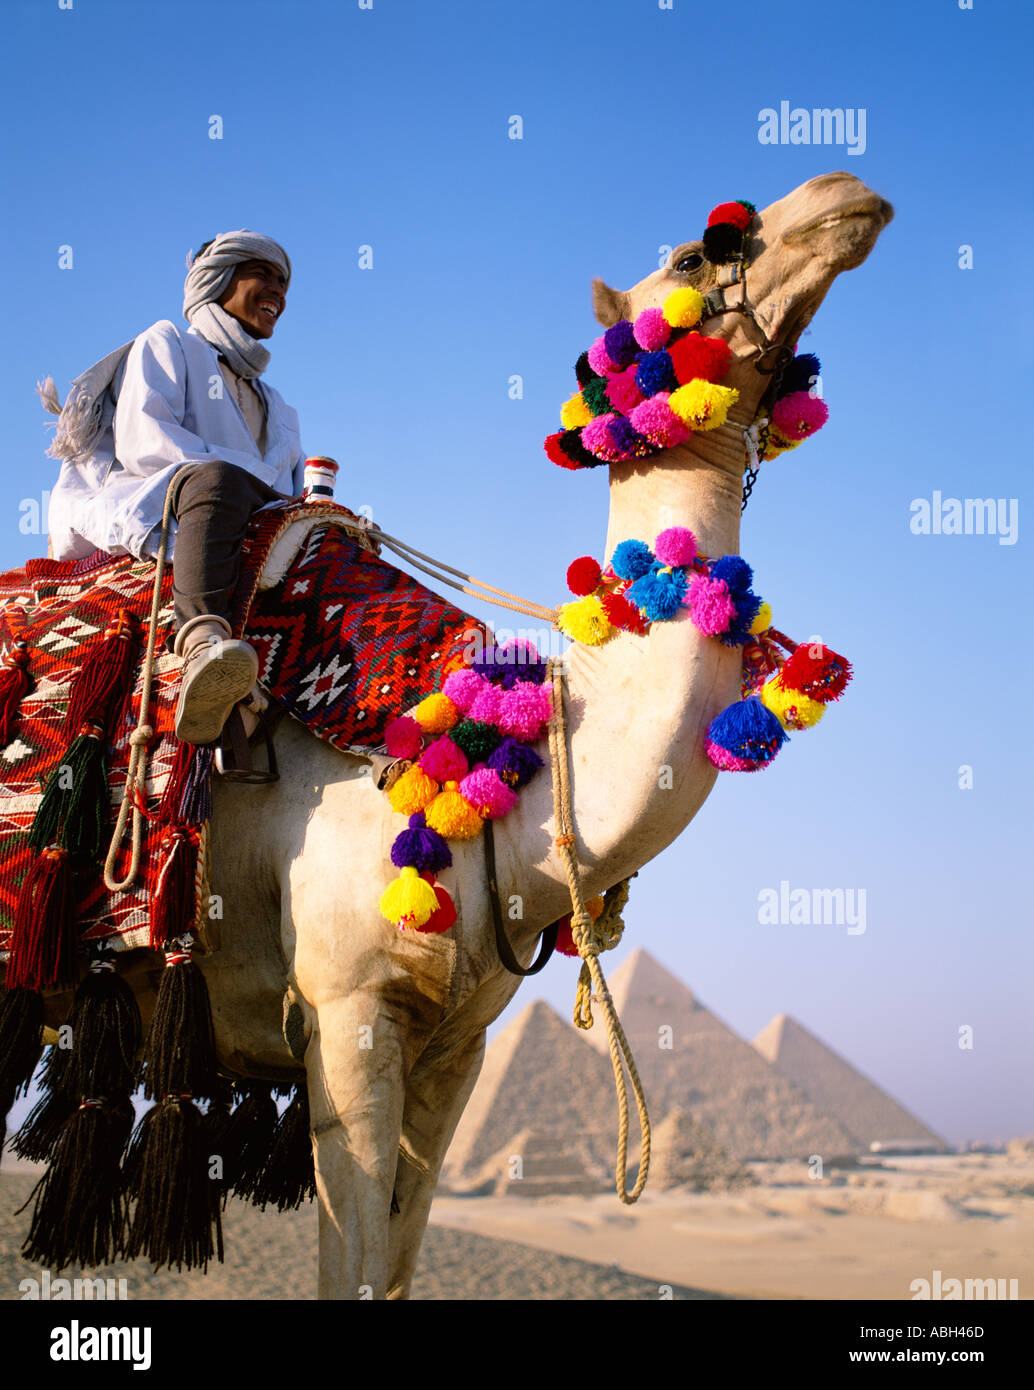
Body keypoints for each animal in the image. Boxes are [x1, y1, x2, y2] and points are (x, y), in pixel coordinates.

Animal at [13, 171, 893, 1299]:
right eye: (698, 256)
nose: (841, 194)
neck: (489, 775)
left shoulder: (457, 1048)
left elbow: (395, 1262)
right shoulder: (345, 1013)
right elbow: (348, 1269)